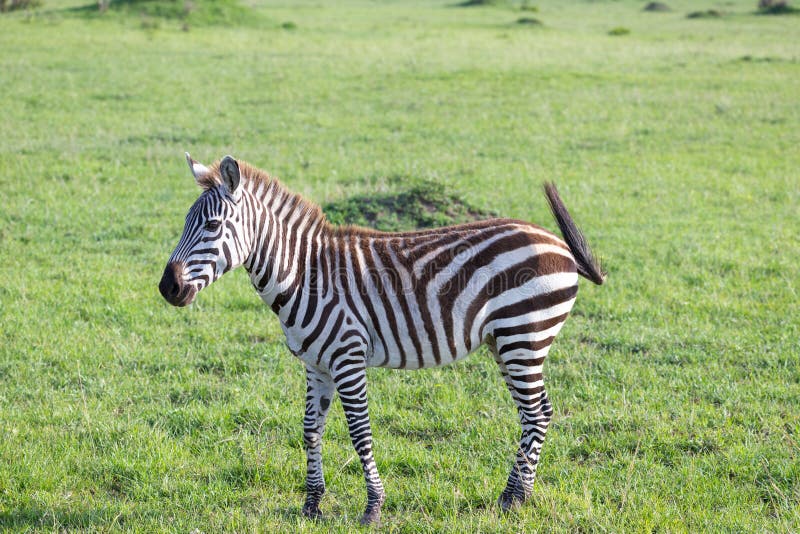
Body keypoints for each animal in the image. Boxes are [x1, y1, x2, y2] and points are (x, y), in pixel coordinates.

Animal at [159, 154, 605, 525]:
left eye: (212, 226)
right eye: (184, 224)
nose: (167, 288)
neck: (304, 274)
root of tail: (557, 243)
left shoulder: (347, 357)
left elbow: (360, 431)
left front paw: (373, 506)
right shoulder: (315, 364)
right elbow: (310, 429)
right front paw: (312, 504)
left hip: (523, 336)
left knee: (537, 412)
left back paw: (515, 498)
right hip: (507, 341)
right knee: (536, 413)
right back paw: (514, 495)